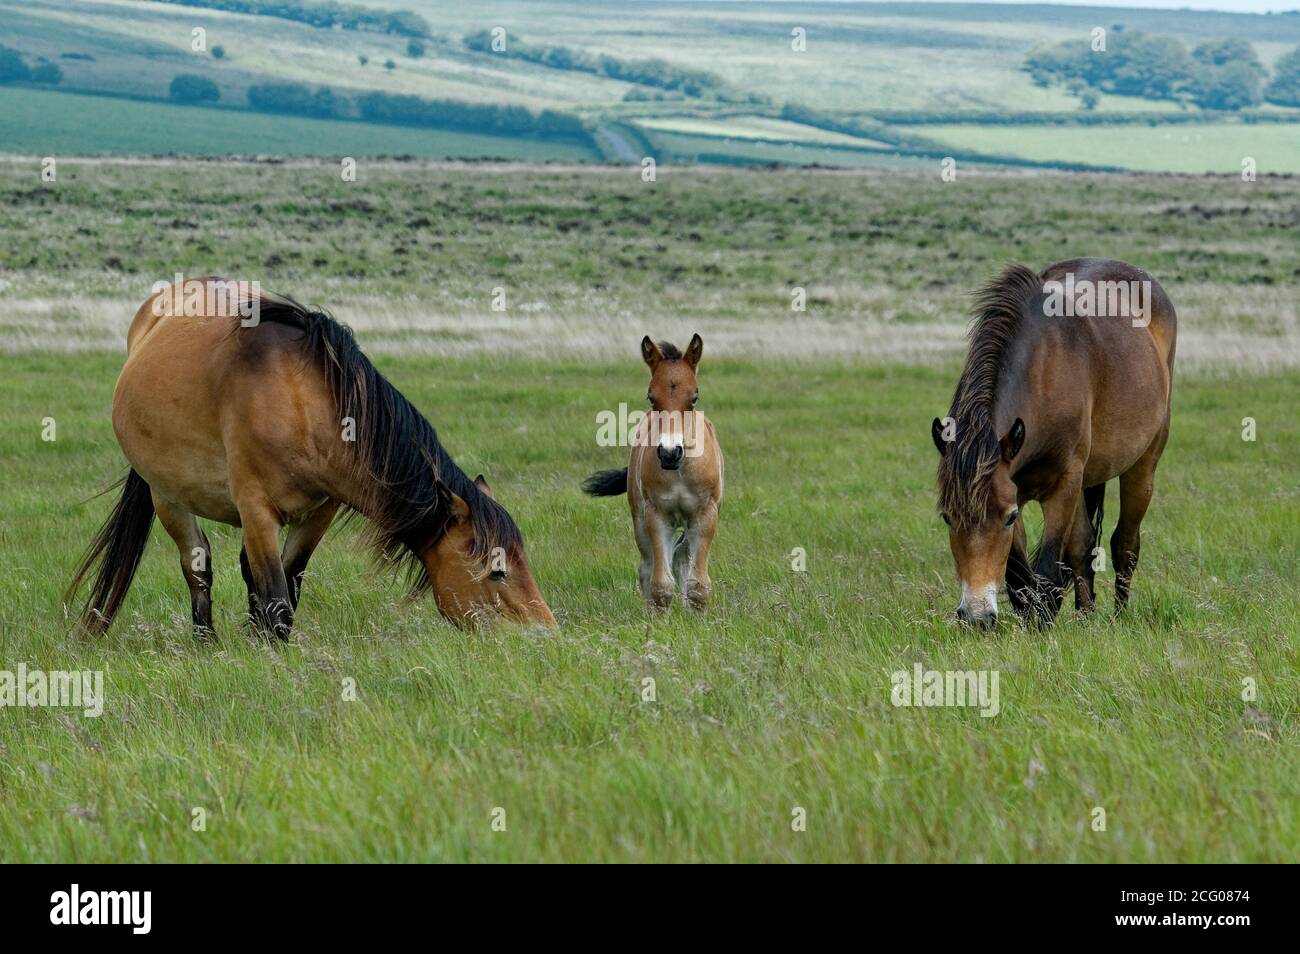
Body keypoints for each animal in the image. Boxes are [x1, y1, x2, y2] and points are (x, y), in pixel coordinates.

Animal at [67, 277, 555, 638]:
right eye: (496, 571)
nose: (544, 633)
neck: (298, 400)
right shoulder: (256, 511)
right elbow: (276, 600)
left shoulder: (317, 514)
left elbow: (287, 589)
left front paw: (260, 644)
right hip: (166, 495)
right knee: (197, 566)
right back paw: (205, 643)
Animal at [583, 335, 724, 612]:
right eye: (650, 397)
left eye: (694, 397)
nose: (669, 453)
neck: (679, 473)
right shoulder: (656, 515)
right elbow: (660, 584)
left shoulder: (706, 514)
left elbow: (699, 586)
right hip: (639, 518)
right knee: (648, 567)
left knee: (680, 555)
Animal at [931, 258, 1176, 629]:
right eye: (948, 517)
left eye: (1007, 518)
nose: (976, 618)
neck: (1042, 370)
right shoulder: (1014, 485)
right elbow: (1020, 575)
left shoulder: (1063, 484)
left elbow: (1047, 570)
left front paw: (1042, 628)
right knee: (1083, 547)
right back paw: (1086, 617)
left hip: (1142, 465)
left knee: (1125, 545)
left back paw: (1118, 616)